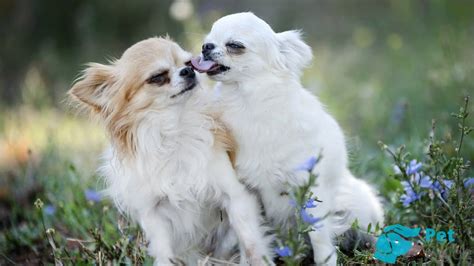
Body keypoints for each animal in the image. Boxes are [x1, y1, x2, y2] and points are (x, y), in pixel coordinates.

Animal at [68, 38, 272, 266]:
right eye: (157, 77)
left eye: (189, 63)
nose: (188, 71)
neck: (175, 129)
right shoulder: (153, 215)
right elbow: (163, 252)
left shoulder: (235, 197)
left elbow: (251, 242)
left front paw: (259, 261)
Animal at [193, 12, 386, 264]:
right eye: (208, 39)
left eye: (235, 45)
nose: (205, 47)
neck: (247, 102)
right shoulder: (247, 191)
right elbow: (249, 237)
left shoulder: (311, 189)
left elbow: (320, 239)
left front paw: (326, 262)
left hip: (359, 205)